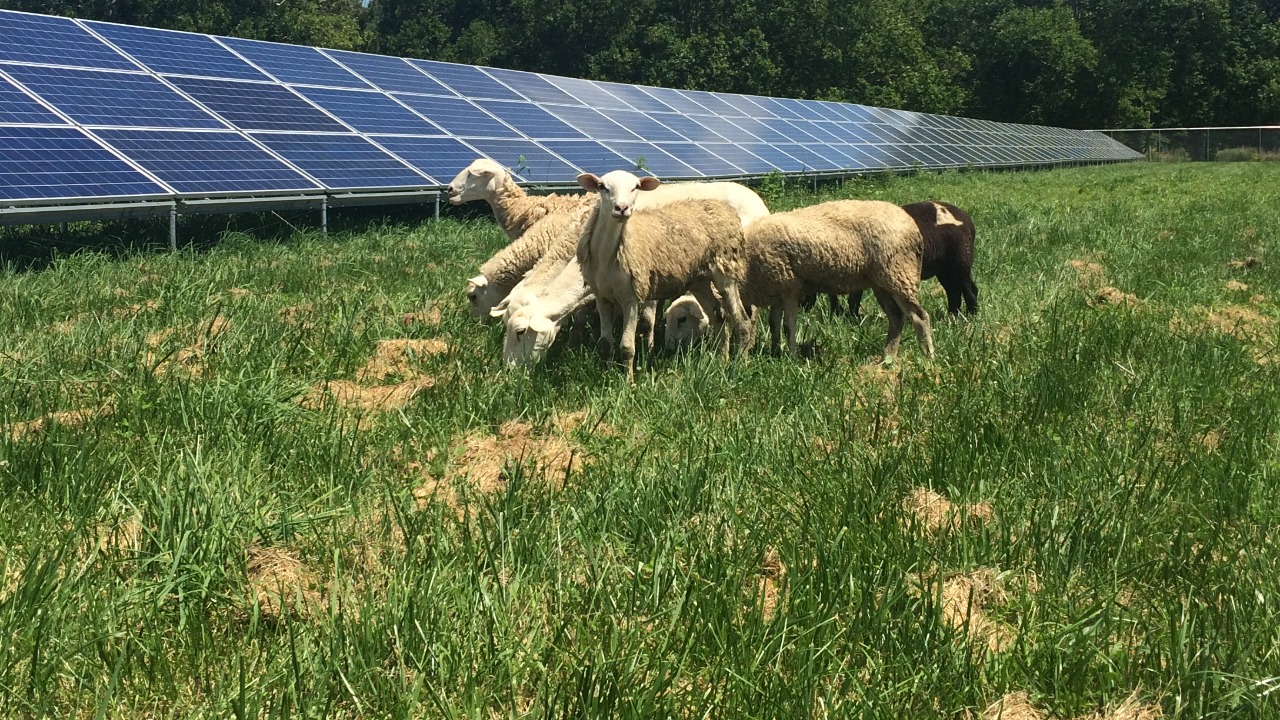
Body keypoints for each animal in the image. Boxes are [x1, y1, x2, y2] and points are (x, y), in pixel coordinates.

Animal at [576, 170, 751, 381]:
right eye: (602, 186)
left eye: (636, 187)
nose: (622, 208)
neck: (607, 256)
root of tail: (723, 207)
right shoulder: (602, 296)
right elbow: (605, 343)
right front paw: (608, 375)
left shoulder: (631, 297)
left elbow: (626, 347)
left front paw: (627, 382)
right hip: (699, 280)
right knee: (718, 317)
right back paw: (722, 361)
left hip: (726, 271)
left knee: (741, 319)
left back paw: (740, 363)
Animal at [739, 199, 935, 359]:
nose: (736, 359)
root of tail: (912, 226)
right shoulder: (776, 289)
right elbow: (774, 323)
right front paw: (775, 352)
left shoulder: (789, 287)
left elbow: (788, 325)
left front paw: (791, 358)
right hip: (882, 283)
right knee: (896, 318)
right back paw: (887, 358)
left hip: (899, 274)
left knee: (920, 317)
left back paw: (928, 357)